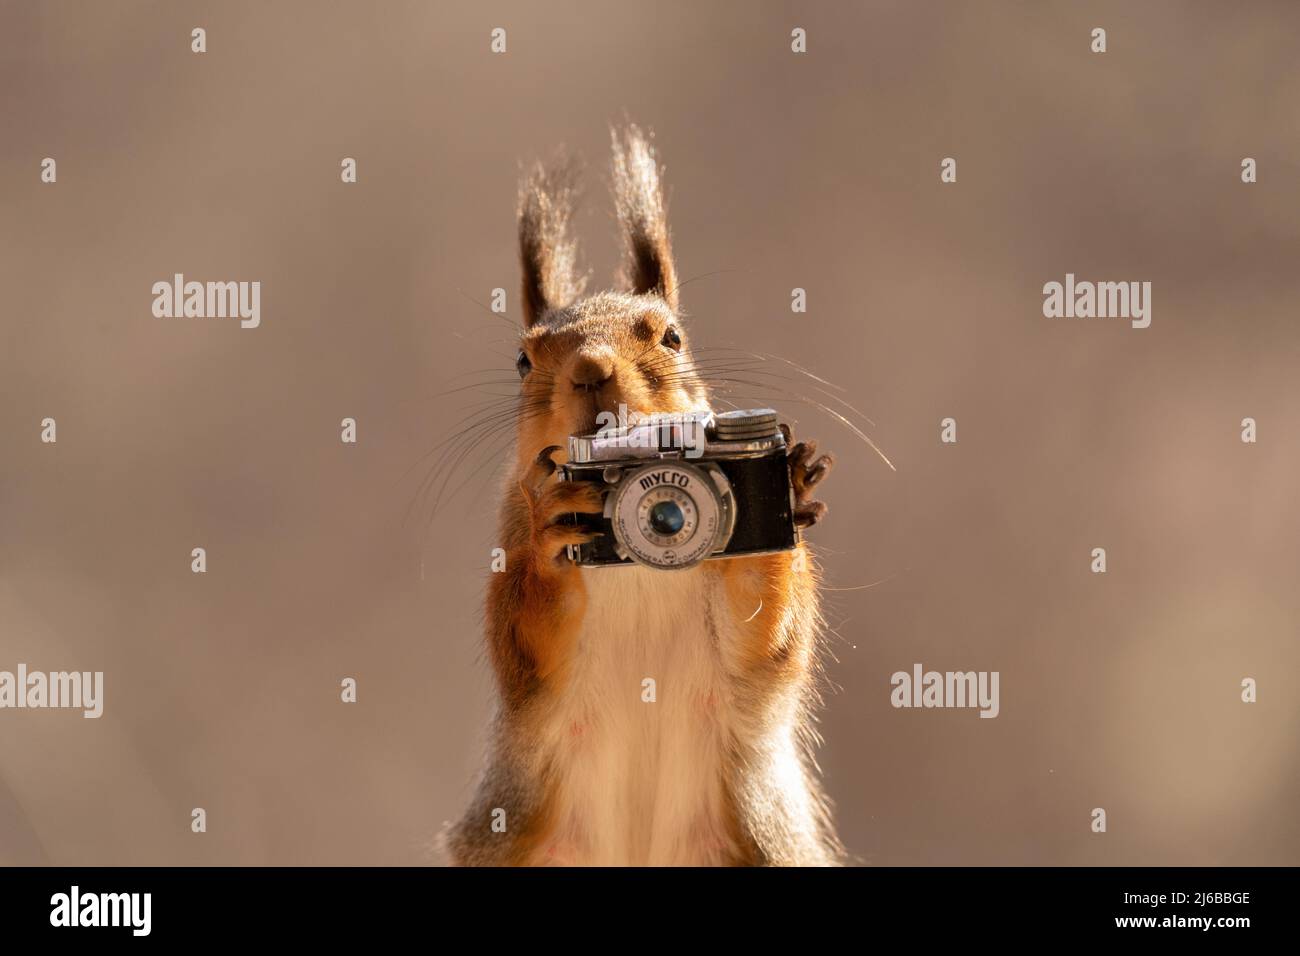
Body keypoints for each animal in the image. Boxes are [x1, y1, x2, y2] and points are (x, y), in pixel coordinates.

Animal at [444, 126, 842, 866]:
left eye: (674, 336)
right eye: (523, 360)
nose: (591, 366)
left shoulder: (751, 664)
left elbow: (766, 640)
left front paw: (793, 486)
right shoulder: (513, 578)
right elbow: (526, 641)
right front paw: (551, 536)